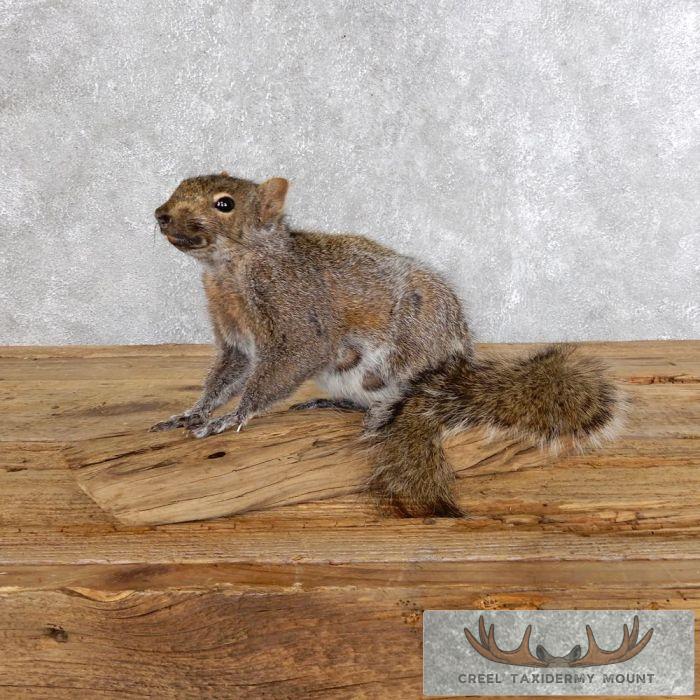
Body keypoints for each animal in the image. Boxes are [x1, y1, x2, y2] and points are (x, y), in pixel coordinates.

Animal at [150, 172, 624, 517]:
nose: (160, 214)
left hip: (402, 356)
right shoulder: (234, 338)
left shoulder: (298, 319)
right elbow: (225, 377)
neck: (230, 270)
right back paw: (333, 403)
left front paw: (232, 417)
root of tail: (453, 368)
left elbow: (280, 369)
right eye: (179, 187)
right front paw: (194, 412)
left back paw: (379, 417)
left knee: (400, 393)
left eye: (224, 204)